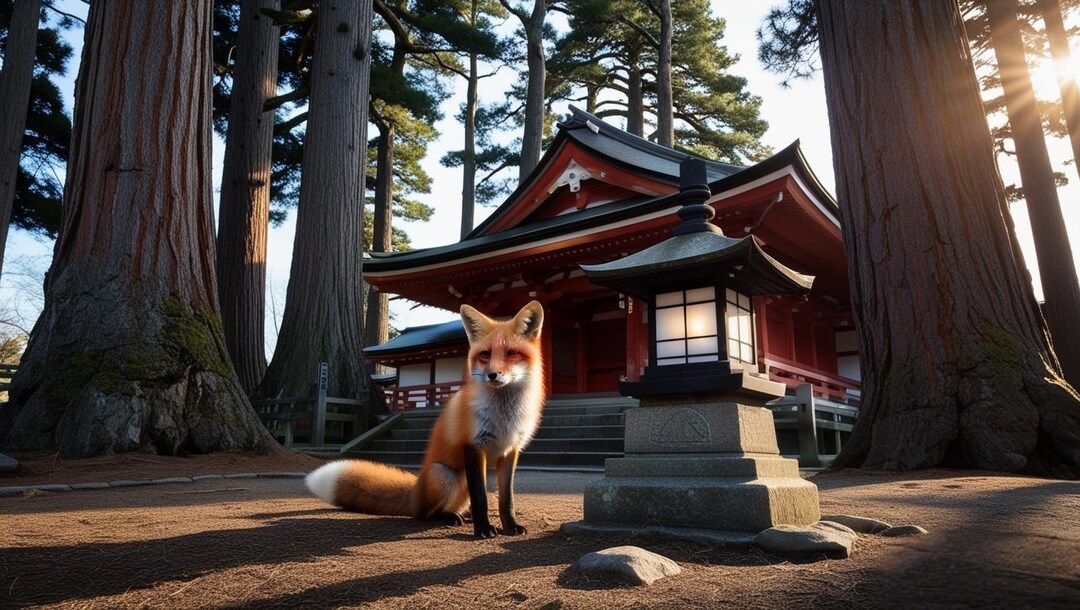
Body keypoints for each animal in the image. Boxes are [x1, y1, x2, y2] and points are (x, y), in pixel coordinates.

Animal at [306, 300, 546, 538]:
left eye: (512, 353)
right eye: (485, 354)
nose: (492, 375)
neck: (504, 416)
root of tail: (416, 492)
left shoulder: (510, 451)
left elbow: (507, 499)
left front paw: (510, 526)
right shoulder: (473, 446)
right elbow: (480, 499)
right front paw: (483, 530)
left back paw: (465, 516)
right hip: (446, 475)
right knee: (426, 514)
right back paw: (450, 517)